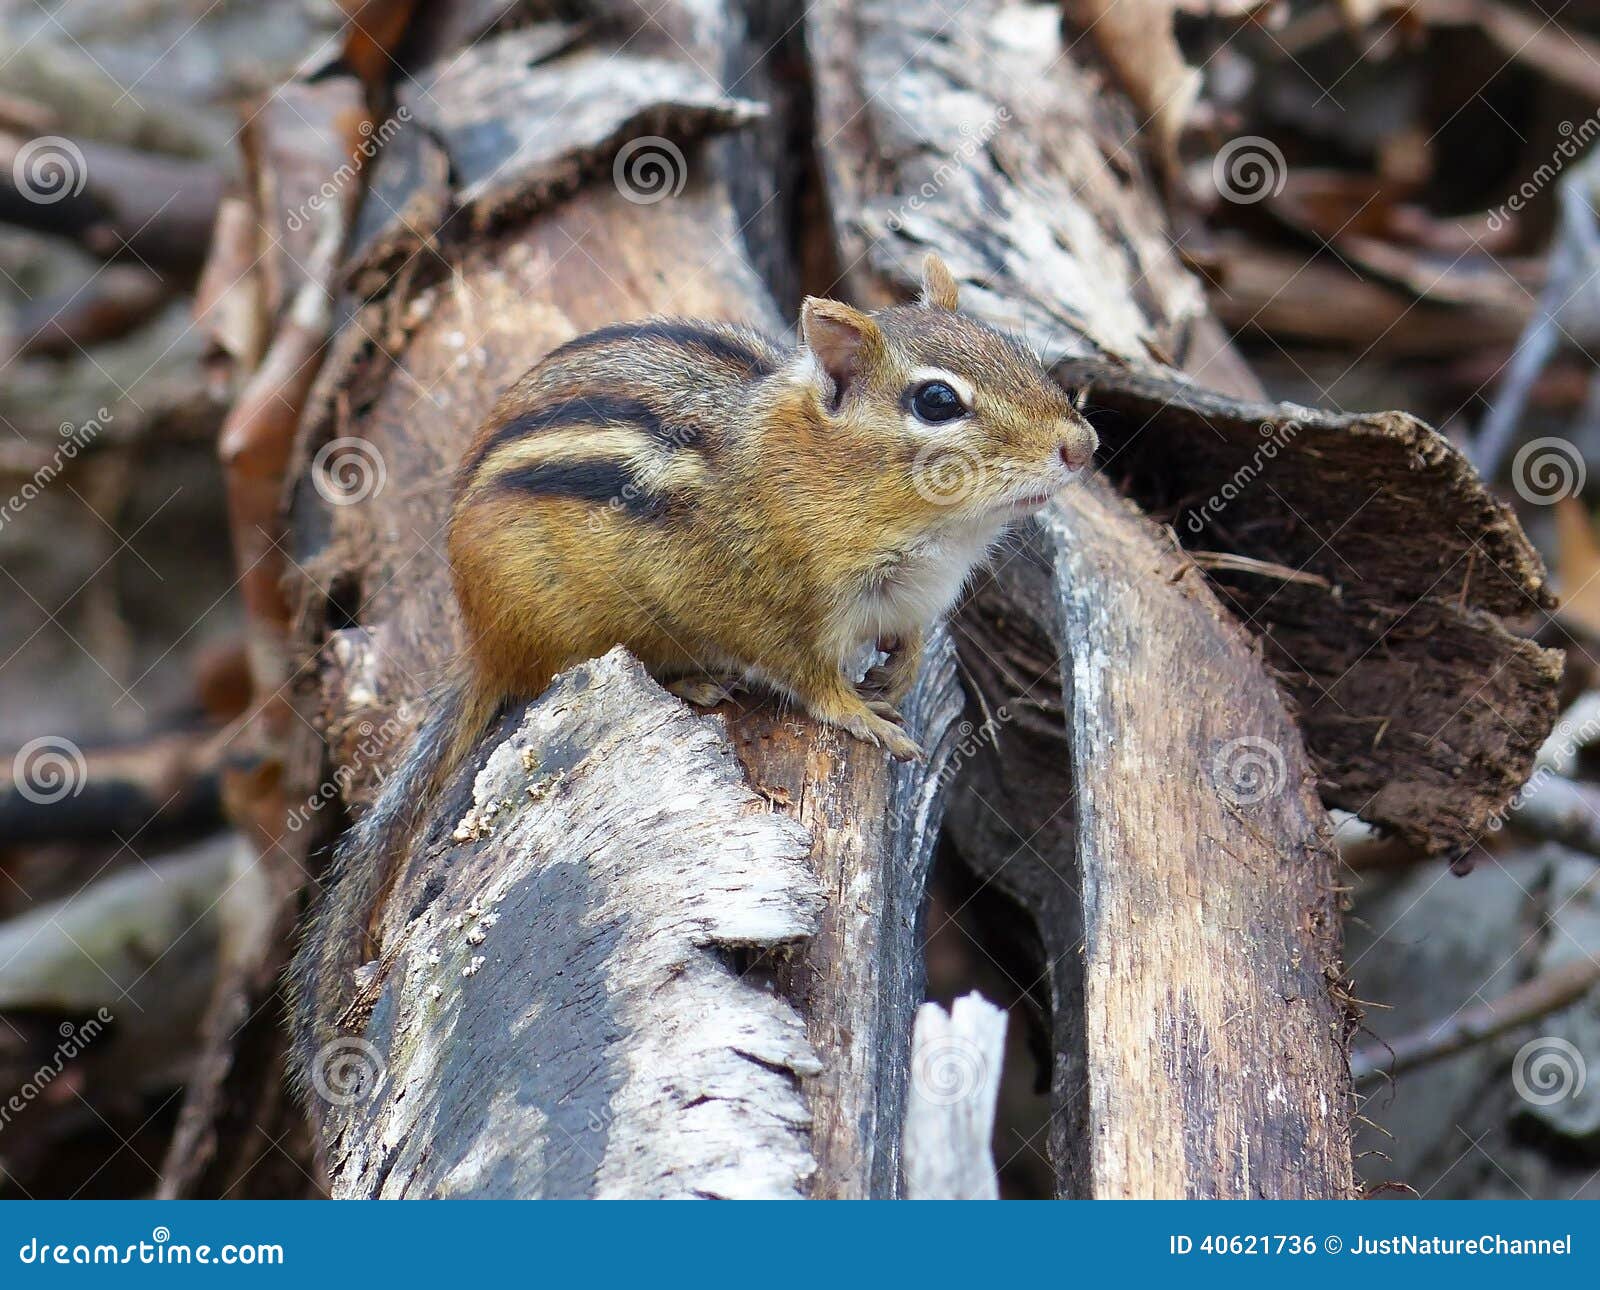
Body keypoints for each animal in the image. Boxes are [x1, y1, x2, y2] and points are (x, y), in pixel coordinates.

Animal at [288, 253, 1096, 1091]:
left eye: (1017, 349)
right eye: (937, 401)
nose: (1084, 446)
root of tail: (480, 643)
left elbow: (905, 638)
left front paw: (897, 674)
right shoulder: (771, 613)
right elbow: (813, 681)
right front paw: (863, 715)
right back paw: (691, 681)